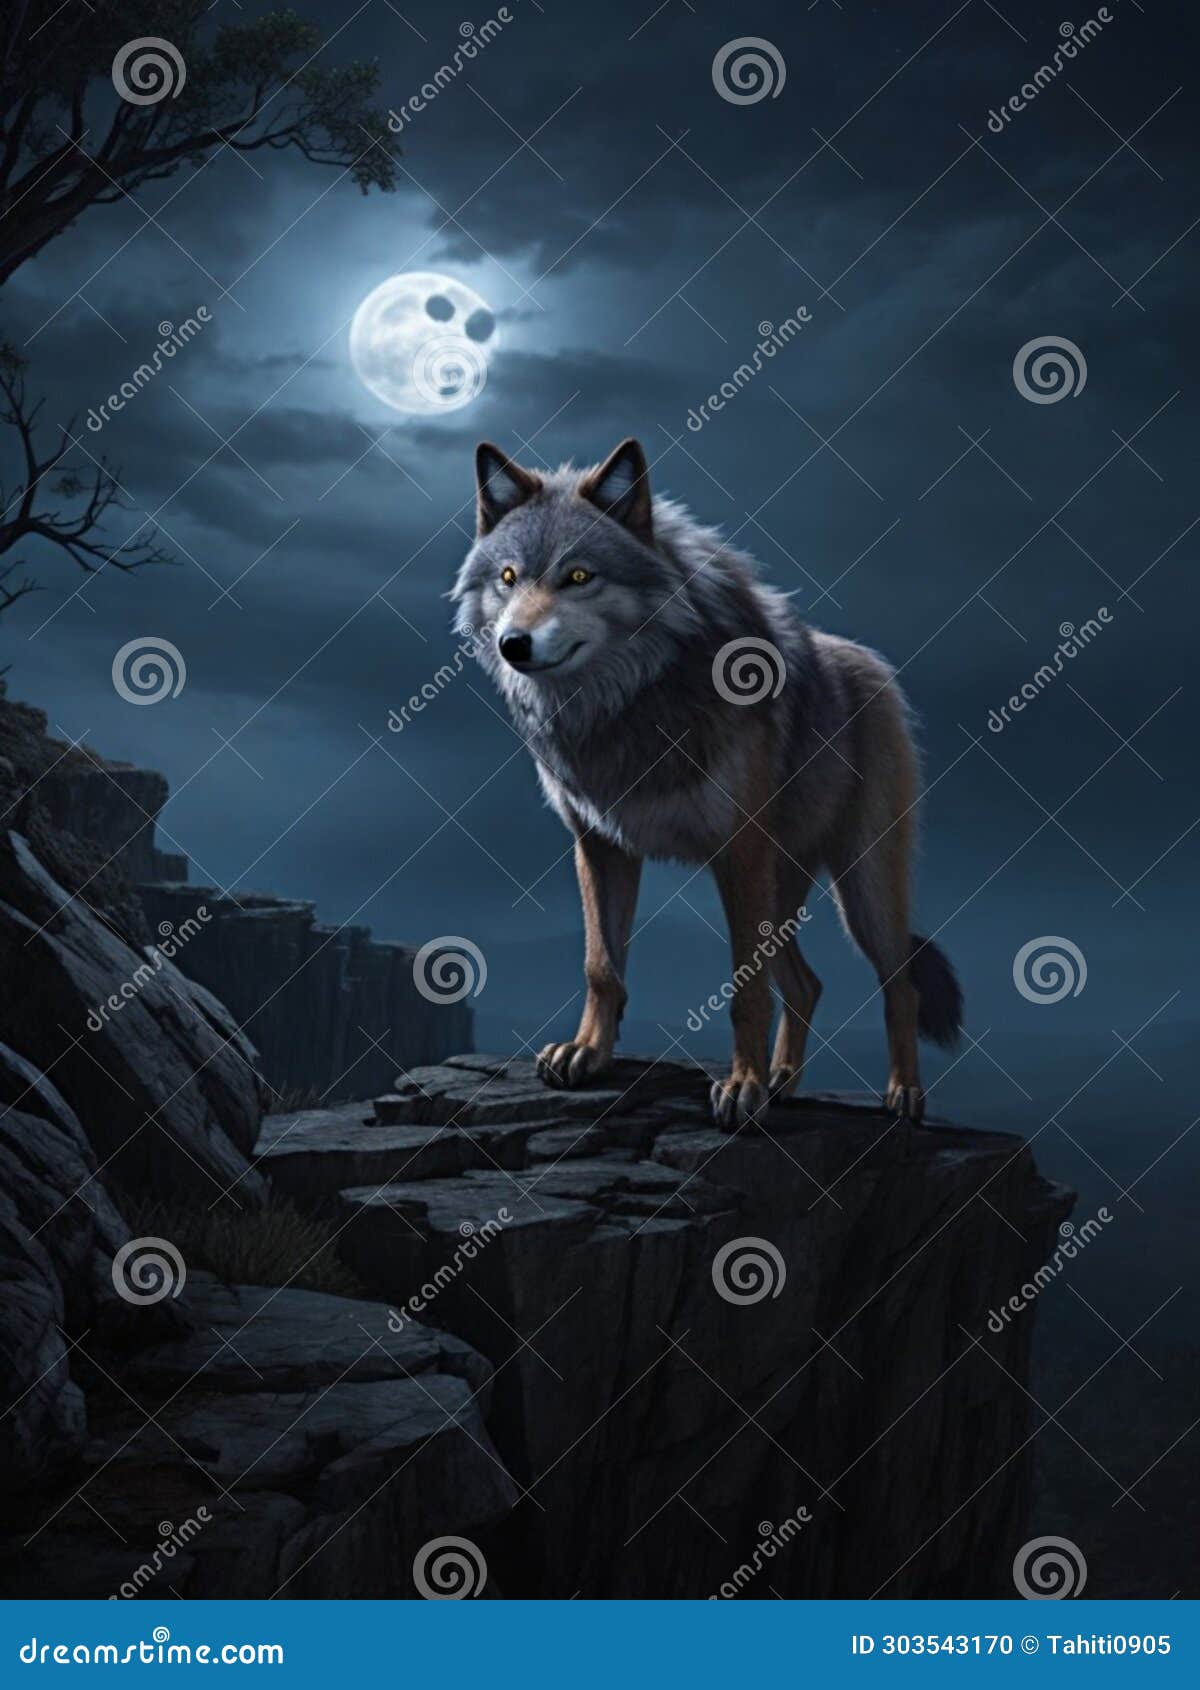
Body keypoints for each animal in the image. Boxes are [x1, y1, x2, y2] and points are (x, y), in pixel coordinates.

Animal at [453, 437, 962, 1129]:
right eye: (508, 578)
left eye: (579, 576)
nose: (513, 644)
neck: (627, 705)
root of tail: (870, 663)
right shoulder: (600, 844)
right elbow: (600, 965)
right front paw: (588, 1053)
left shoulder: (737, 853)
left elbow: (745, 990)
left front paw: (741, 1087)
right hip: (785, 888)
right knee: (807, 984)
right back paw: (783, 1082)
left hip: (862, 889)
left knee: (899, 985)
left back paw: (901, 1095)